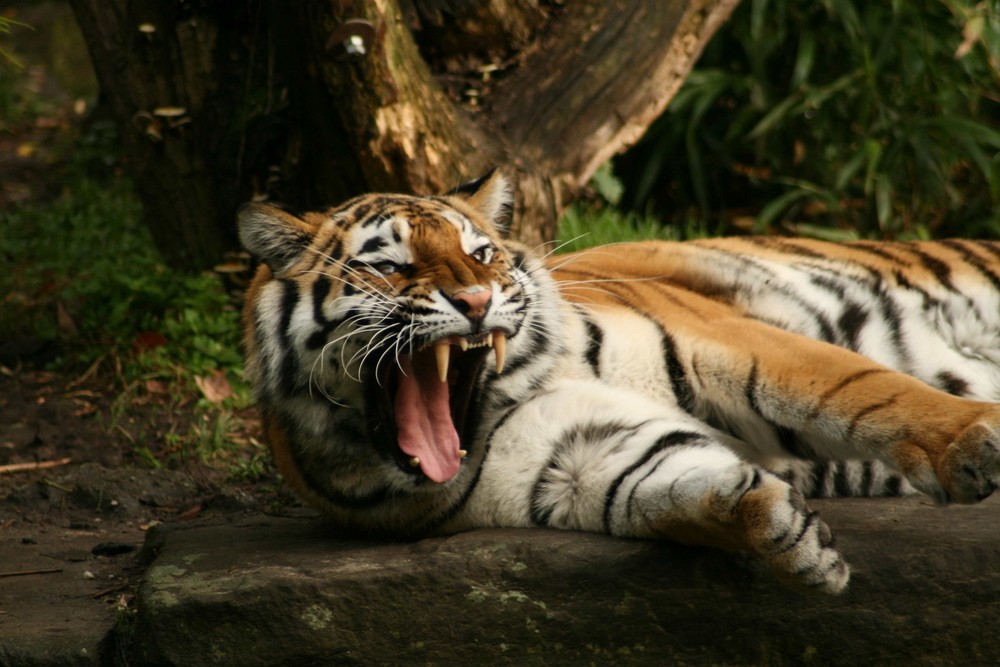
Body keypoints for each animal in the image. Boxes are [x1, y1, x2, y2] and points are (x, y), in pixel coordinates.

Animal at [238, 170, 1000, 594]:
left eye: (479, 253)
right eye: (390, 266)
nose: (477, 300)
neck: (508, 393)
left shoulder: (722, 340)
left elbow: (863, 389)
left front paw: (973, 441)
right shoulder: (576, 459)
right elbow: (670, 489)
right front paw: (788, 534)